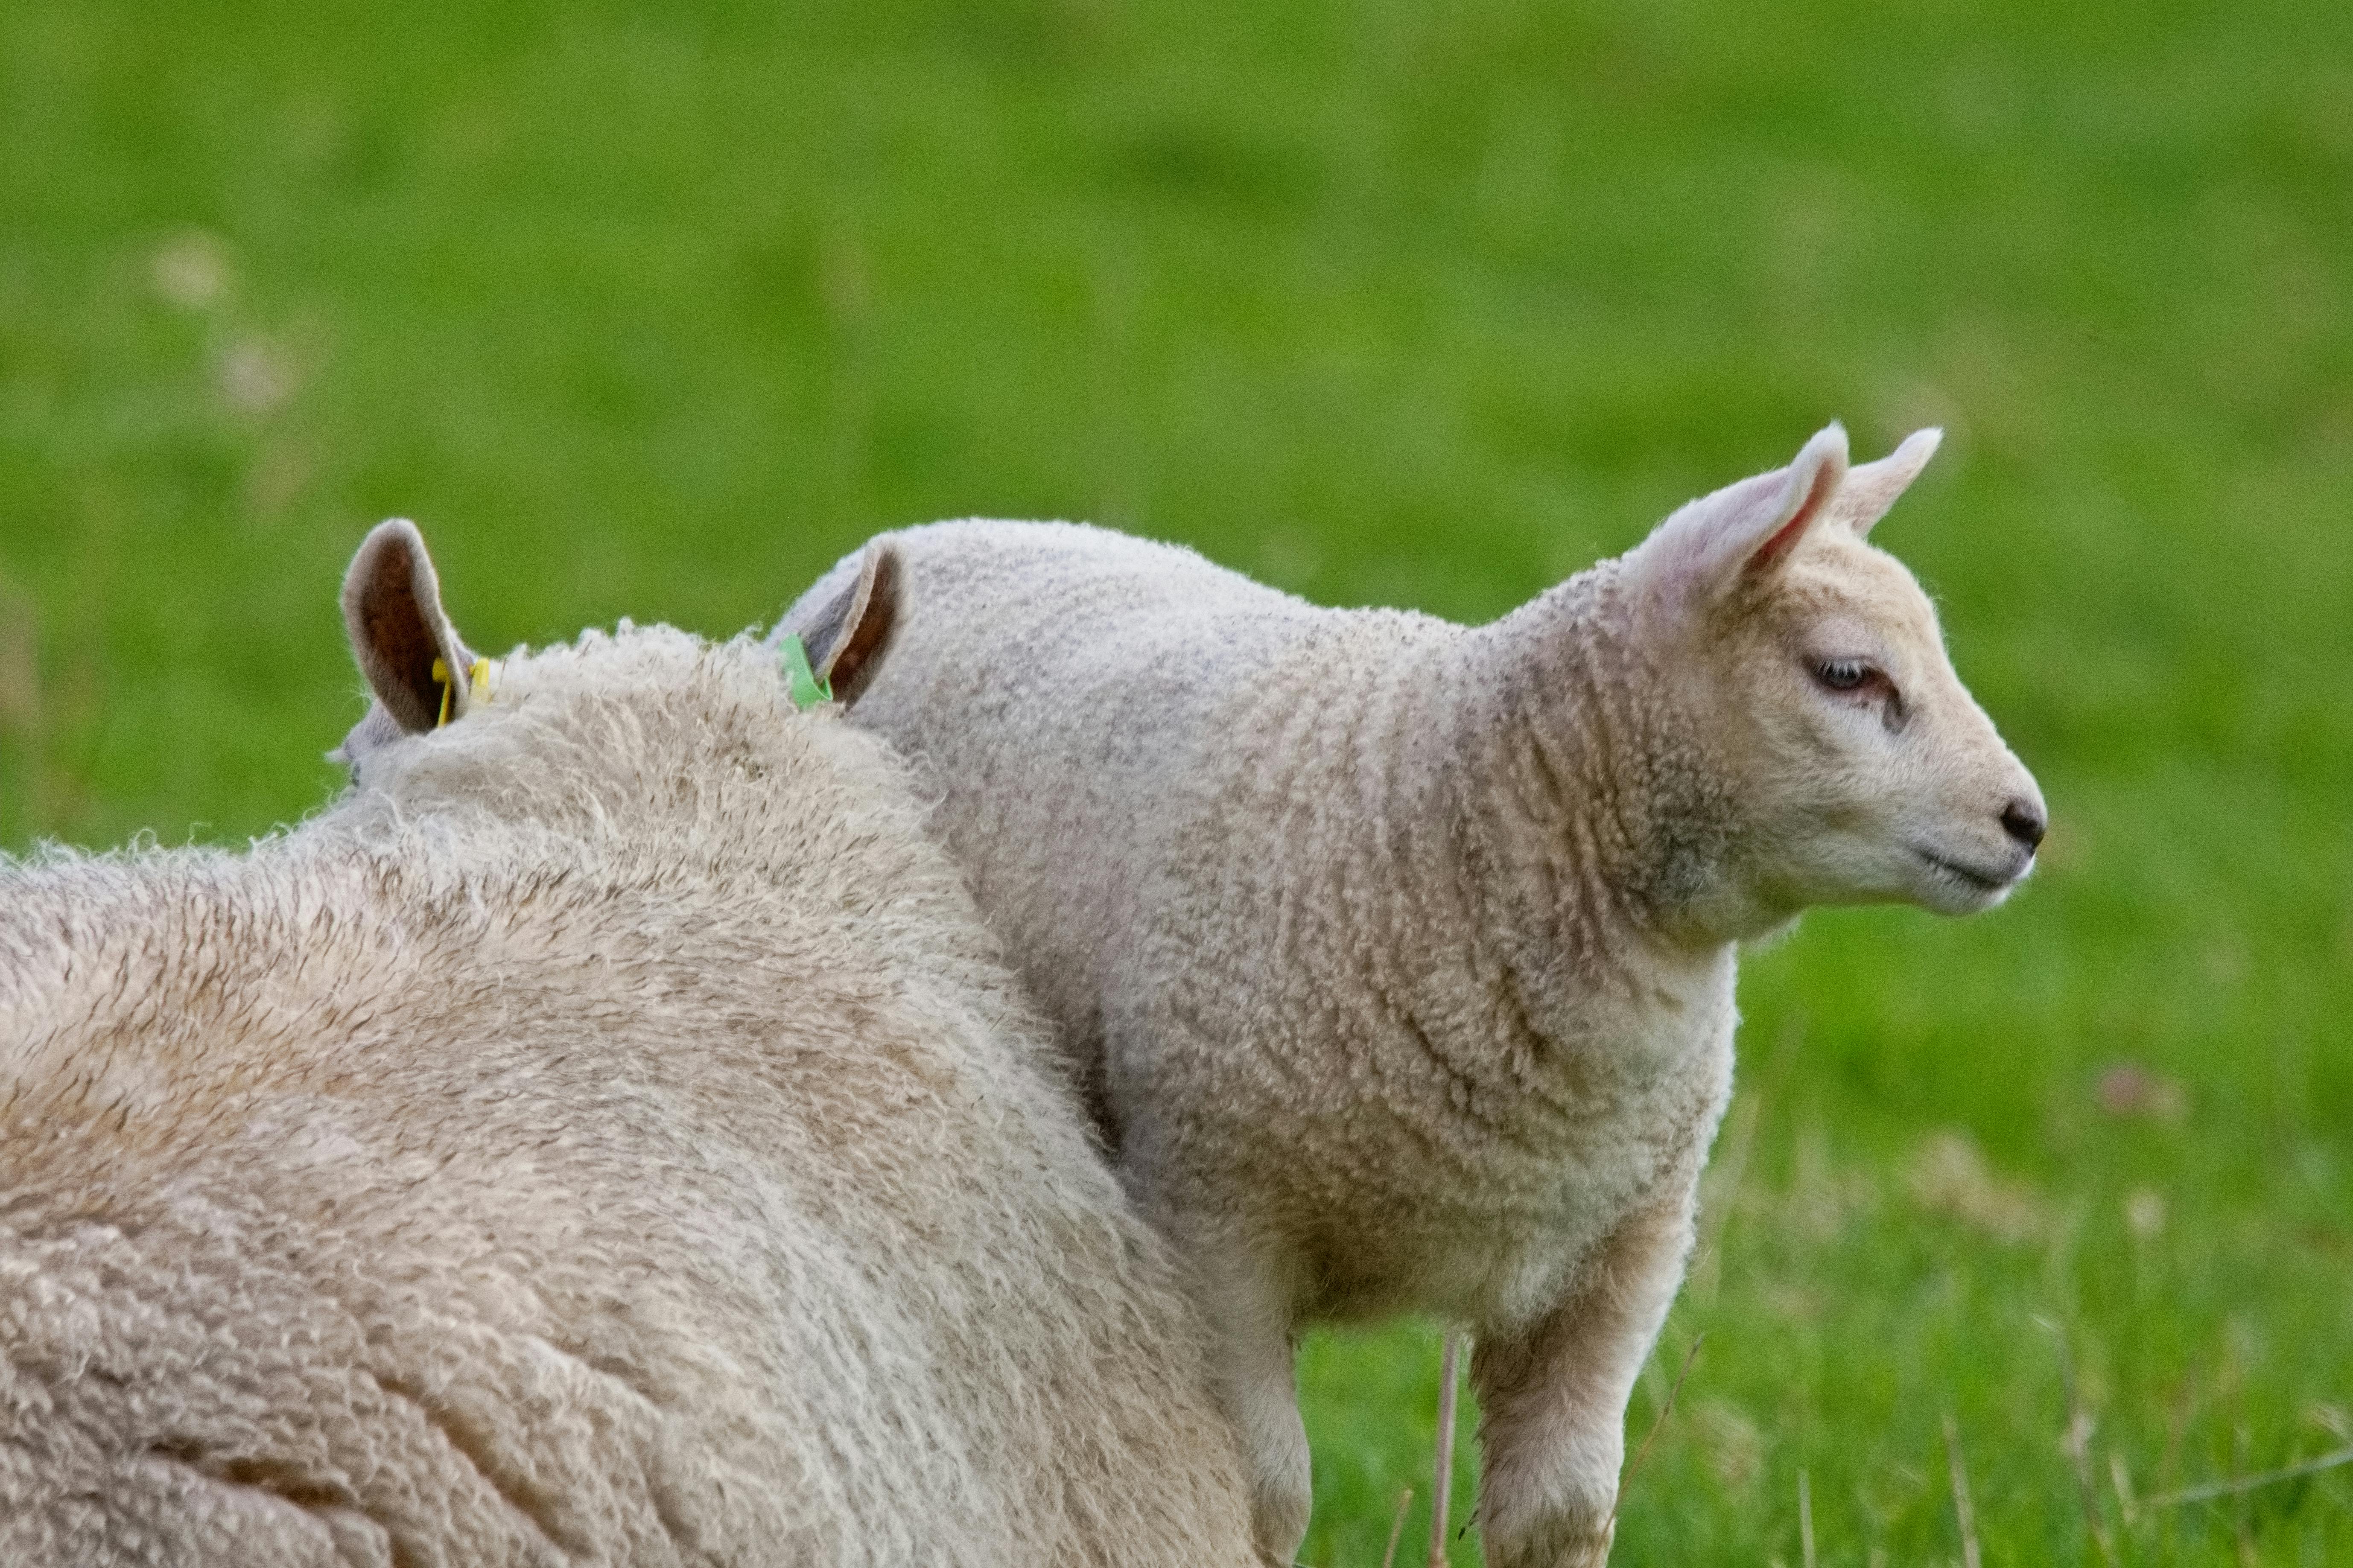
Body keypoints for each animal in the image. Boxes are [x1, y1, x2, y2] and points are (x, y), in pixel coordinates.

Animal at [783, 423, 2047, 1566]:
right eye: (1846, 673)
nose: (2027, 823)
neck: (1449, 806)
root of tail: (955, 527)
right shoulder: (1212, 1220)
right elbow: (1264, 1497)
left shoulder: (1625, 1251)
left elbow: (1562, 1512)